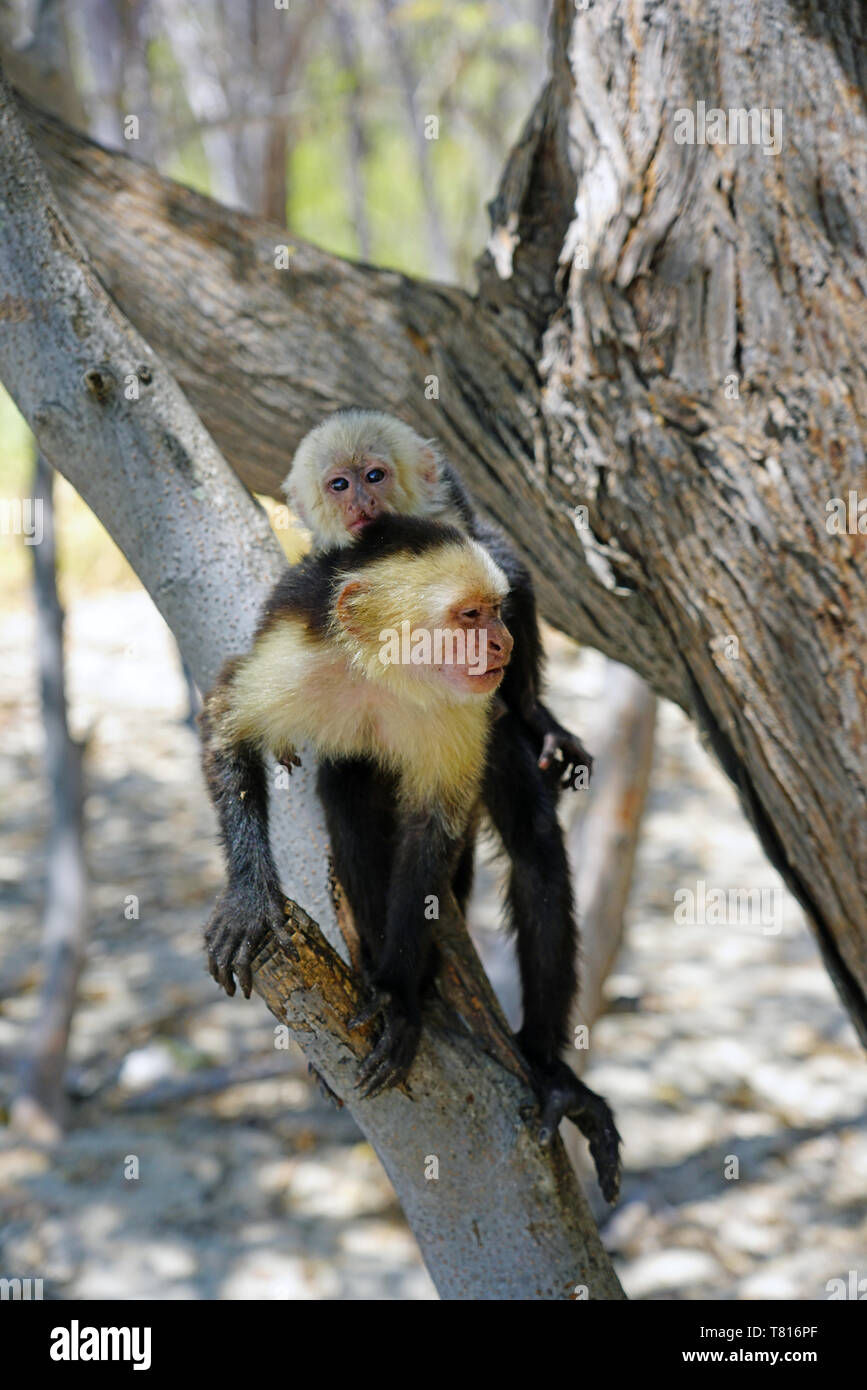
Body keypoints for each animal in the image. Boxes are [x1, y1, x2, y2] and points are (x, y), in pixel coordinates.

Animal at [200, 514, 620, 1202]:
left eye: (495, 612)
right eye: (470, 616)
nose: (502, 643)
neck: (385, 674)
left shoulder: (468, 708)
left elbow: (429, 838)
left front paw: (399, 995)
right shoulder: (299, 660)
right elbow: (225, 726)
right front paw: (248, 900)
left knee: (535, 856)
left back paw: (550, 1072)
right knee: (348, 796)